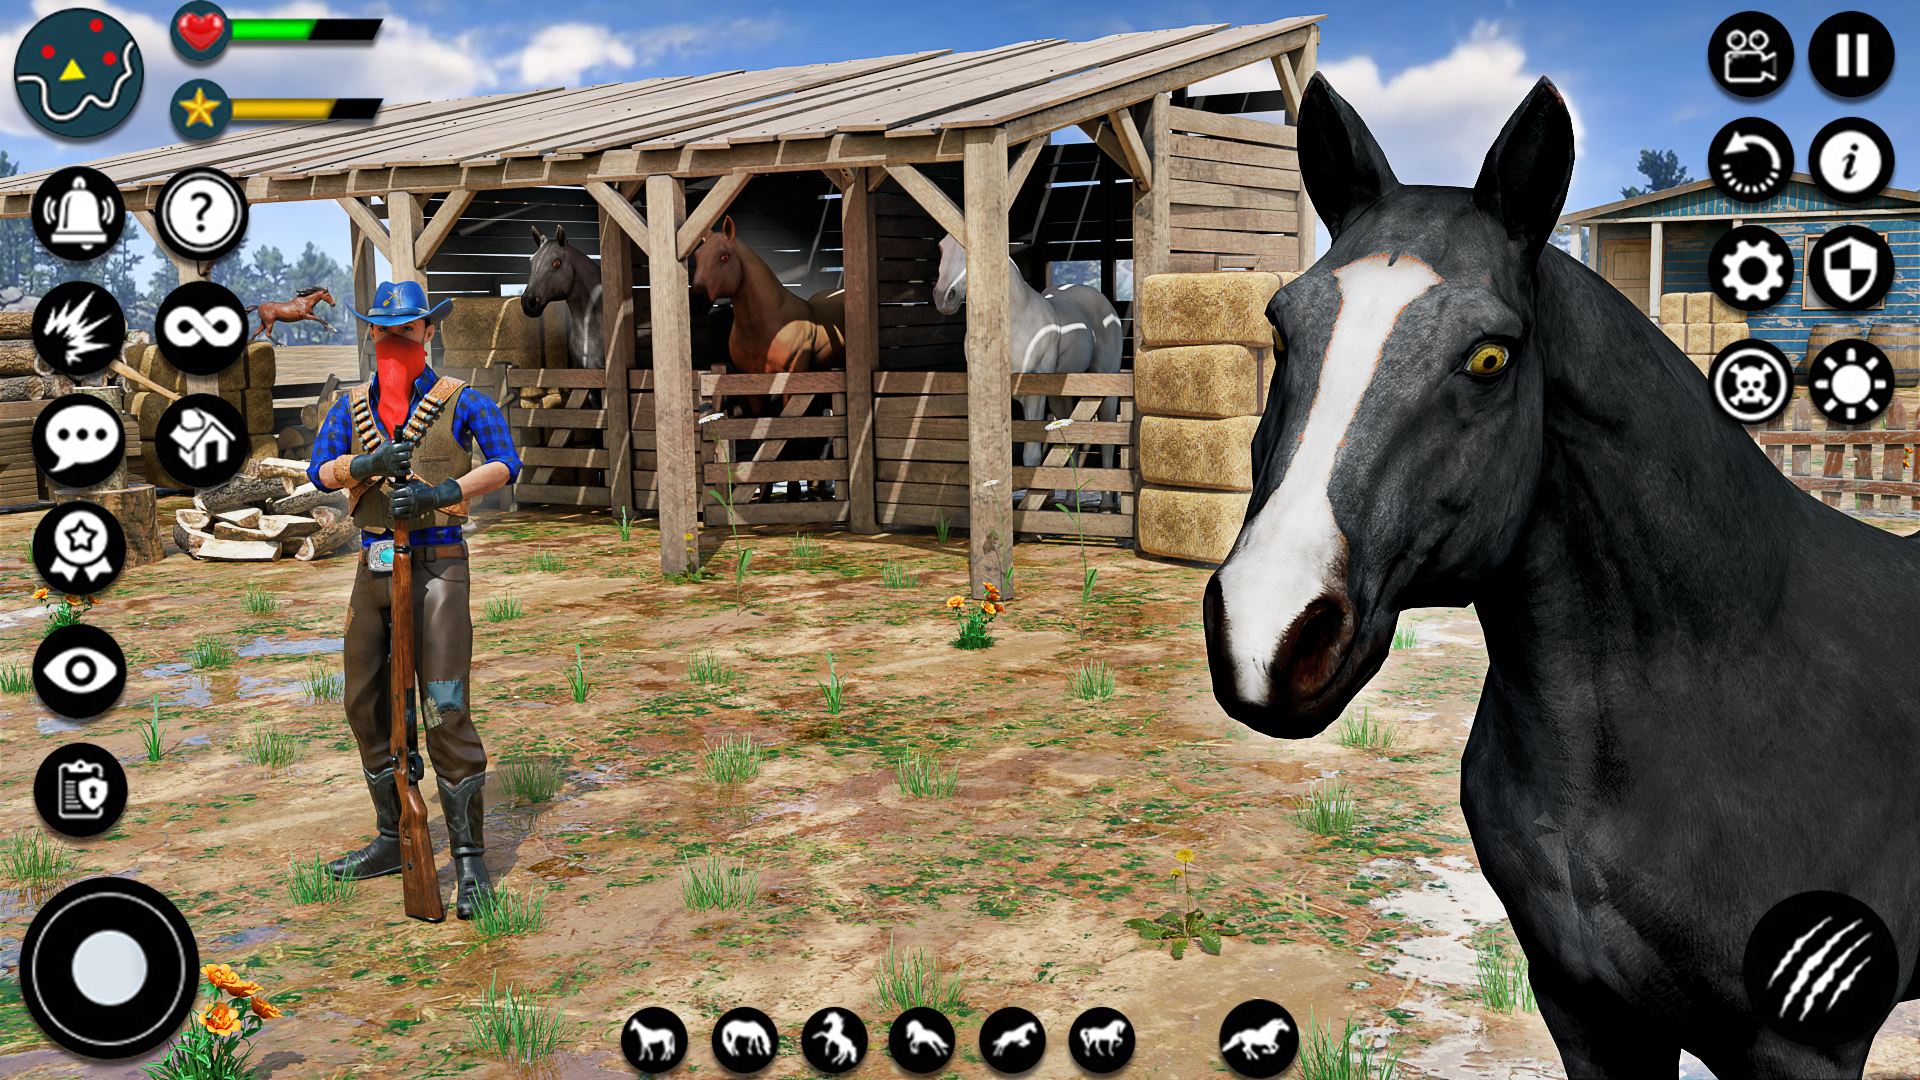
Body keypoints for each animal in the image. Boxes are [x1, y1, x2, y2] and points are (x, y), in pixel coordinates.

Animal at [689, 213, 847, 501]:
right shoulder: (753, 387)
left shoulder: (789, 383)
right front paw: (762, 493)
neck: (768, 328)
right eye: (697, 255)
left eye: (724, 256)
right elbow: (762, 436)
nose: (696, 302)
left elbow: (789, 436)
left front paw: (792, 493)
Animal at [934, 234, 1123, 511]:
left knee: (1108, 438)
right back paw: (1070, 500)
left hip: (1104, 388)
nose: (944, 297)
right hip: (1060, 395)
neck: (1014, 323)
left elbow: (1031, 455)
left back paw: (1107, 503)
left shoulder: (1033, 397)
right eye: (941, 247)